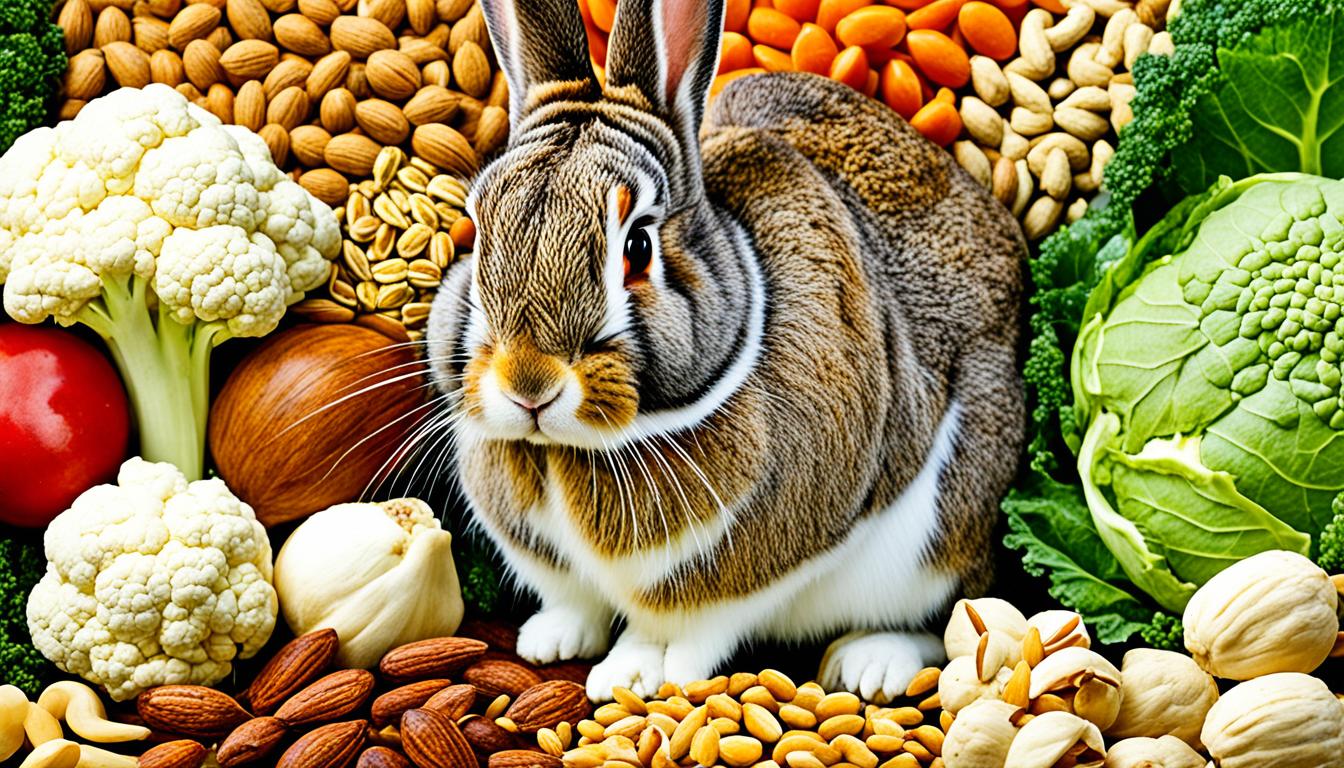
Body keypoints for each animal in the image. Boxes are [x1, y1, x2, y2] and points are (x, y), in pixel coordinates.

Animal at [425, 0, 1025, 703]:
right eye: (478, 228)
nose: (529, 384)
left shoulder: (746, 570)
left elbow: (689, 629)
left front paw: (641, 677)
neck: (575, 451)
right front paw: (551, 643)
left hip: (944, 530)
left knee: (956, 617)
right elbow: (576, 601)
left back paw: (871, 664)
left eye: (638, 247)